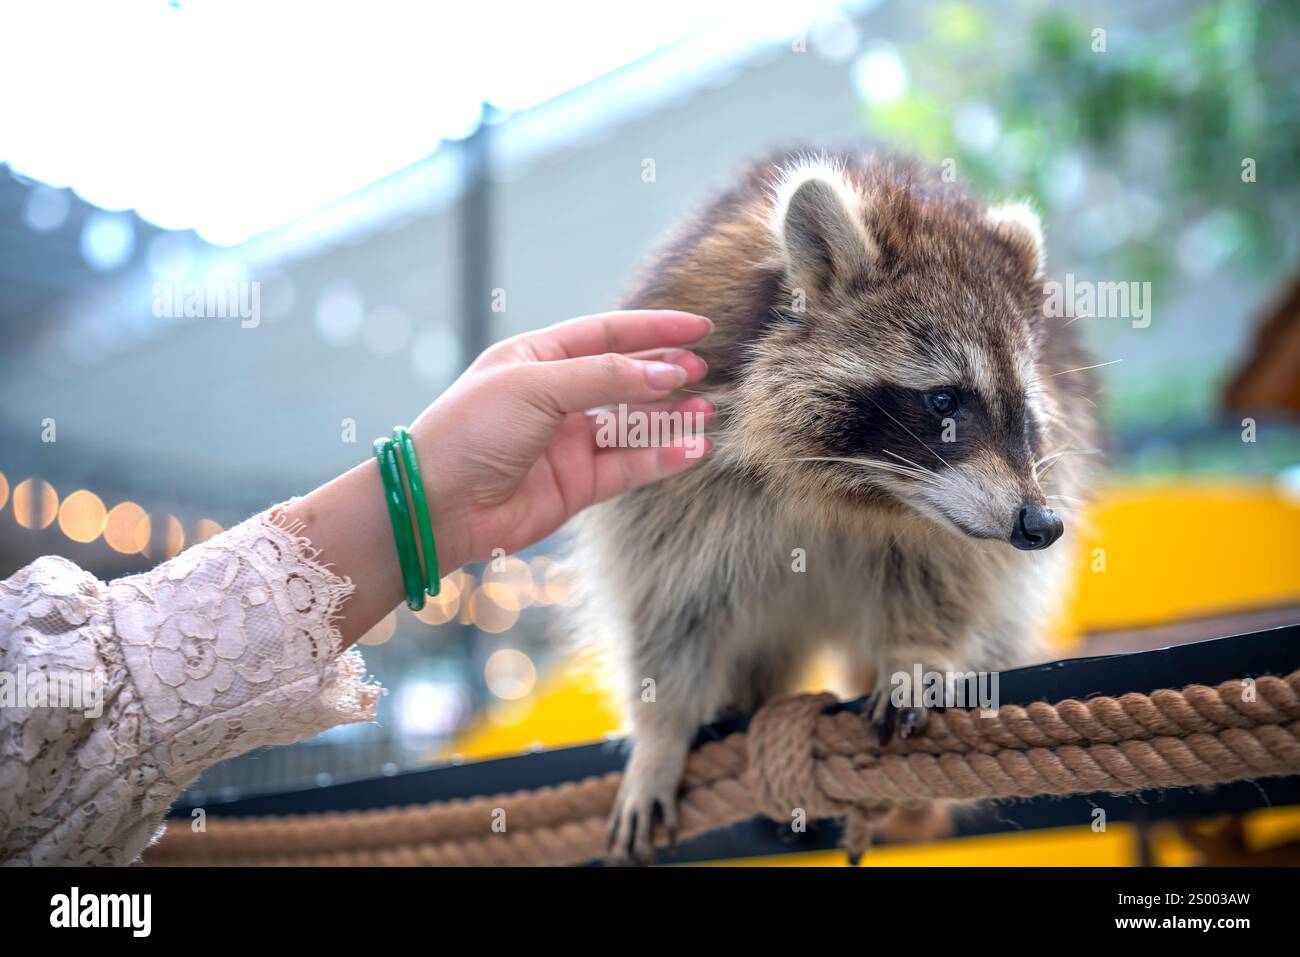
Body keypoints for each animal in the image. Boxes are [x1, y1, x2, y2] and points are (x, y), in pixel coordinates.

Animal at [568, 151, 1100, 864]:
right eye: (943, 401)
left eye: (1024, 410)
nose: (1041, 525)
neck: (855, 489)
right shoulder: (674, 468)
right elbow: (671, 604)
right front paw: (661, 732)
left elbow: (953, 579)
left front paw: (915, 654)